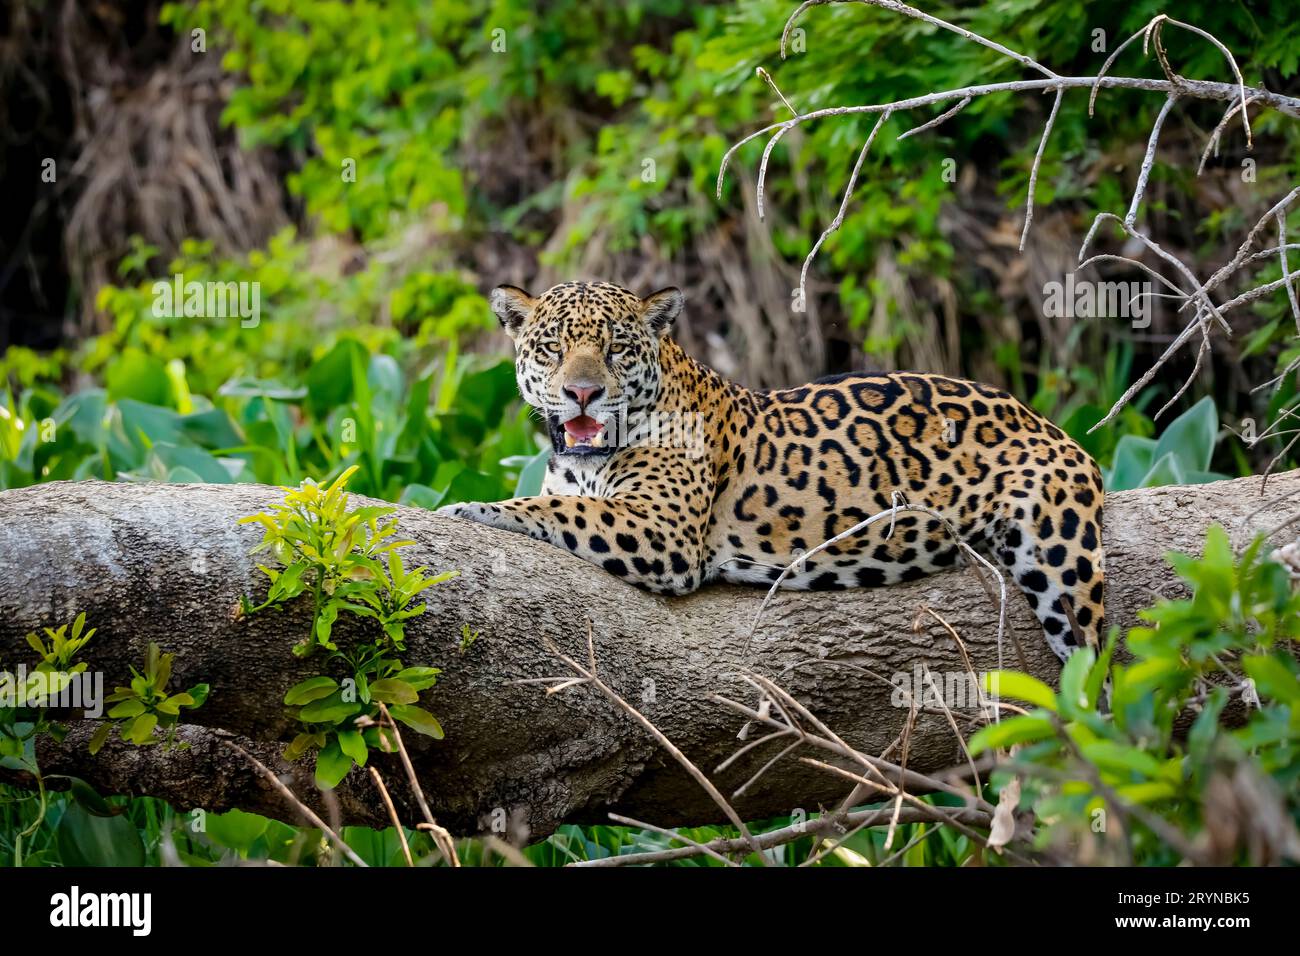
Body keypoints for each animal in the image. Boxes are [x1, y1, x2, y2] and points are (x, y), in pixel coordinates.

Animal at [437, 280, 1105, 663]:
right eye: (552, 348)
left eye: (616, 349)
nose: (582, 393)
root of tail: (1045, 420)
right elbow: (560, 499)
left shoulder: (664, 531)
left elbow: (558, 508)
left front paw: (468, 508)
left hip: (1061, 561)